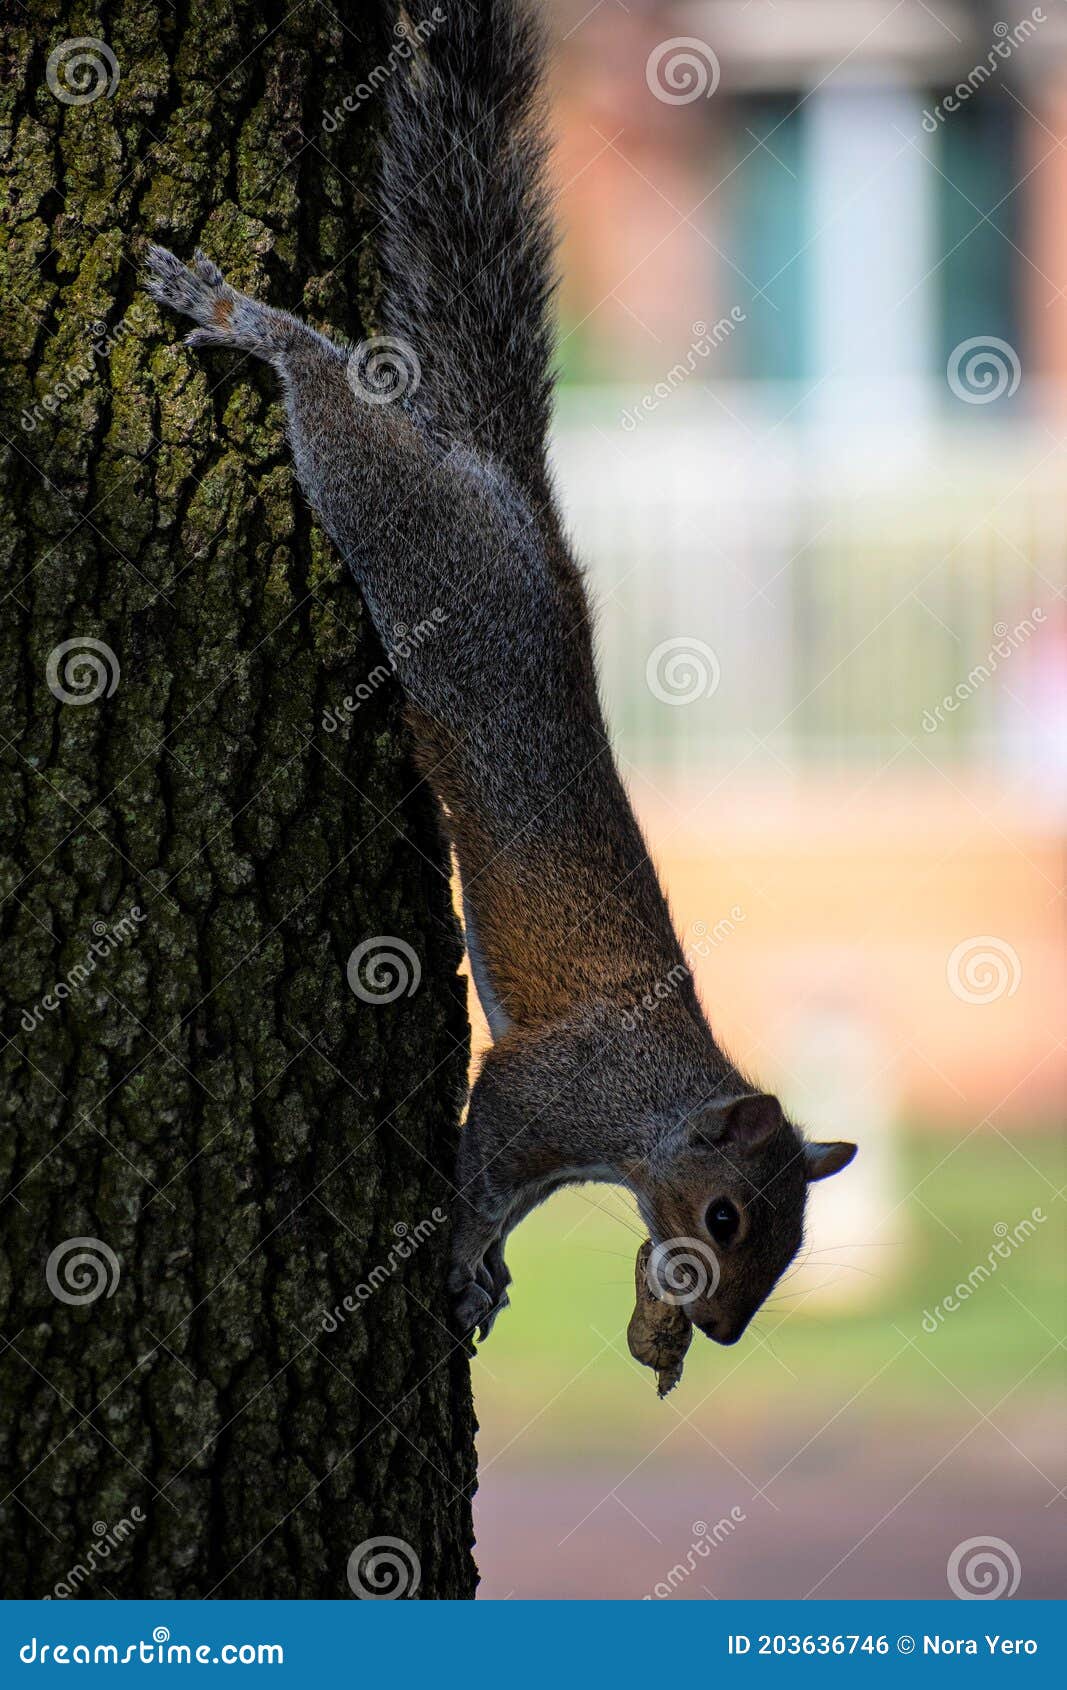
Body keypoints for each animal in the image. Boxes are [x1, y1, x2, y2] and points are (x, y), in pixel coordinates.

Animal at [145, 0, 856, 1349]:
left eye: (790, 1247)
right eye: (726, 1216)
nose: (722, 1332)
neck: (646, 1113)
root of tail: (513, 500)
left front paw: (494, 1274)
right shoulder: (542, 1091)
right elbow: (480, 1178)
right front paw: (468, 1255)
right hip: (413, 534)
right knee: (335, 414)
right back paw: (249, 322)